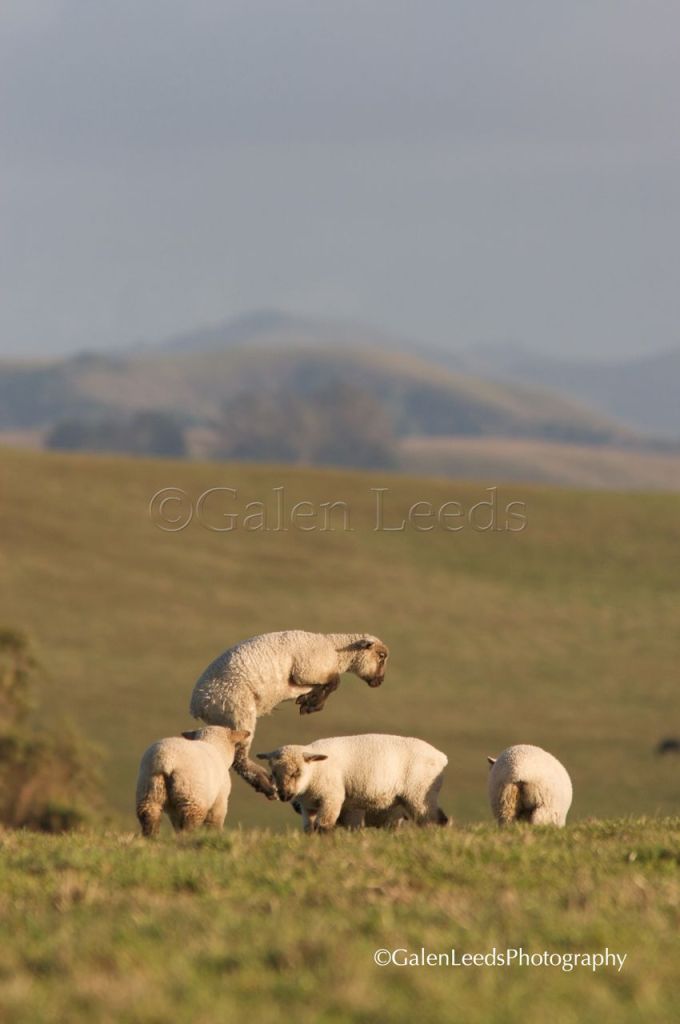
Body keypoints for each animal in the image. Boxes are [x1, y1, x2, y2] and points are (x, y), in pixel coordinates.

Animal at [189, 631, 389, 799]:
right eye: (381, 656)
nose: (379, 682)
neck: (334, 650)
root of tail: (197, 703)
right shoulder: (307, 670)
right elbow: (335, 681)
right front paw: (312, 705)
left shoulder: (306, 679)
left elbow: (327, 685)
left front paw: (308, 701)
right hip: (239, 710)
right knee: (240, 759)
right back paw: (266, 785)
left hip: (224, 719)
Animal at [256, 733, 449, 832]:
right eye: (273, 773)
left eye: (297, 772)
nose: (284, 795)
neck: (315, 772)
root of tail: (442, 757)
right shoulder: (308, 807)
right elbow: (309, 829)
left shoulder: (332, 798)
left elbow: (324, 826)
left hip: (420, 794)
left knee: (434, 819)